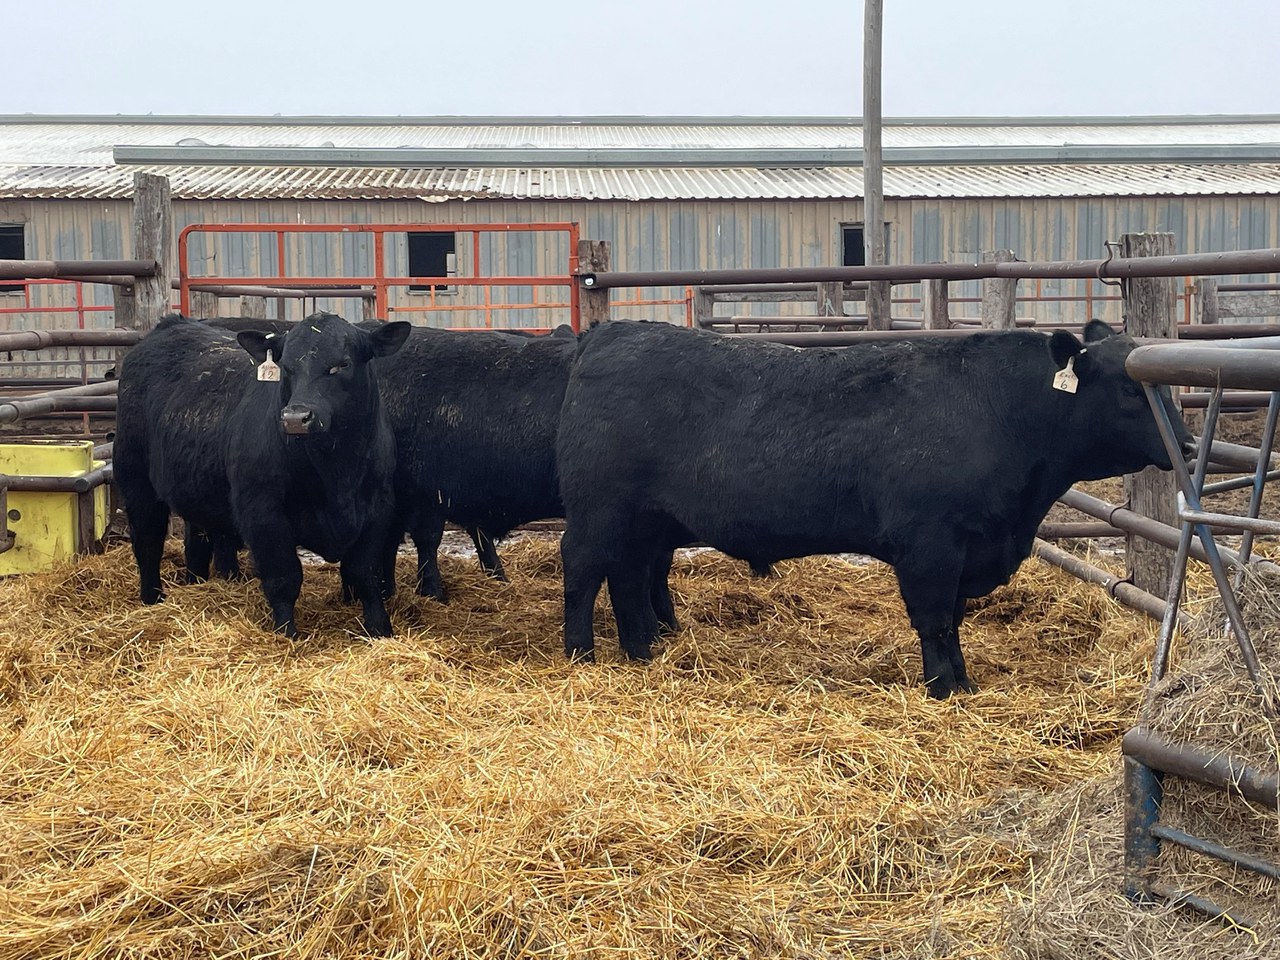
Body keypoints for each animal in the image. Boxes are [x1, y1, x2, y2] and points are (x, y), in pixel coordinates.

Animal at [113, 311, 411, 637]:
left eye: (342, 364)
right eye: (286, 367)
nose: (295, 418)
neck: (336, 471)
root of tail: (172, 324)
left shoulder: (378, 506)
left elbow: (365, 573)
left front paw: (379, 629)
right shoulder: (263, 511)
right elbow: (284, 577)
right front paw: (286, 634)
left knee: (196, 541)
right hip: (135, 480)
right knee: (148, 541)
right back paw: (152, 599)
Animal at [555, 319, 1192, 698]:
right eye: (1131, 389)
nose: (1185, 446)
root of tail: (612, 332)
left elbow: (954, 620)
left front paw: (963, 684)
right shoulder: (930, 546)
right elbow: (935, 620)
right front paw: (942, 688)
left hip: (642, 524)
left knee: (629, 580)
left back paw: (640, 652)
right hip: (599, 514)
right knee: (583, 569)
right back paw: (581, 653)